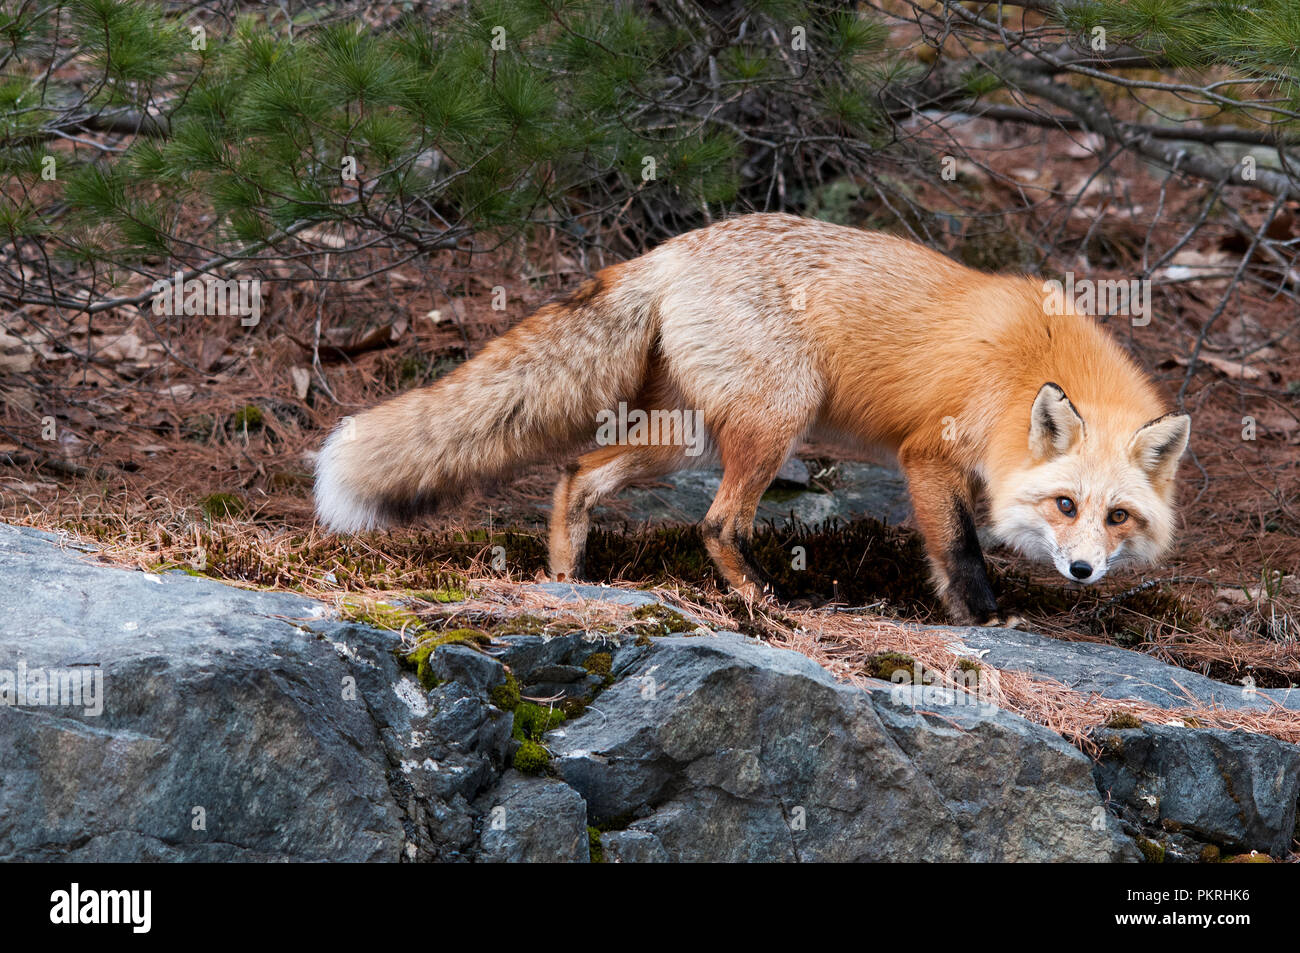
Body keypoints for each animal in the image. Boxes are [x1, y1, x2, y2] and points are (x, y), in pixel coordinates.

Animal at [315, 213, 1190, 625]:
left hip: (684, 438)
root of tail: (669, 250)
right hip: (777, 419)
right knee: (715, 522)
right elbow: (959, 549)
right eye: (1064, 504)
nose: (1084, 571)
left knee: (576, 473)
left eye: (1117, 516)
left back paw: (566, 578)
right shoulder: (927, 456)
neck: (1025, 366)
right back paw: (767, 603)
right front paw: (985, 617)